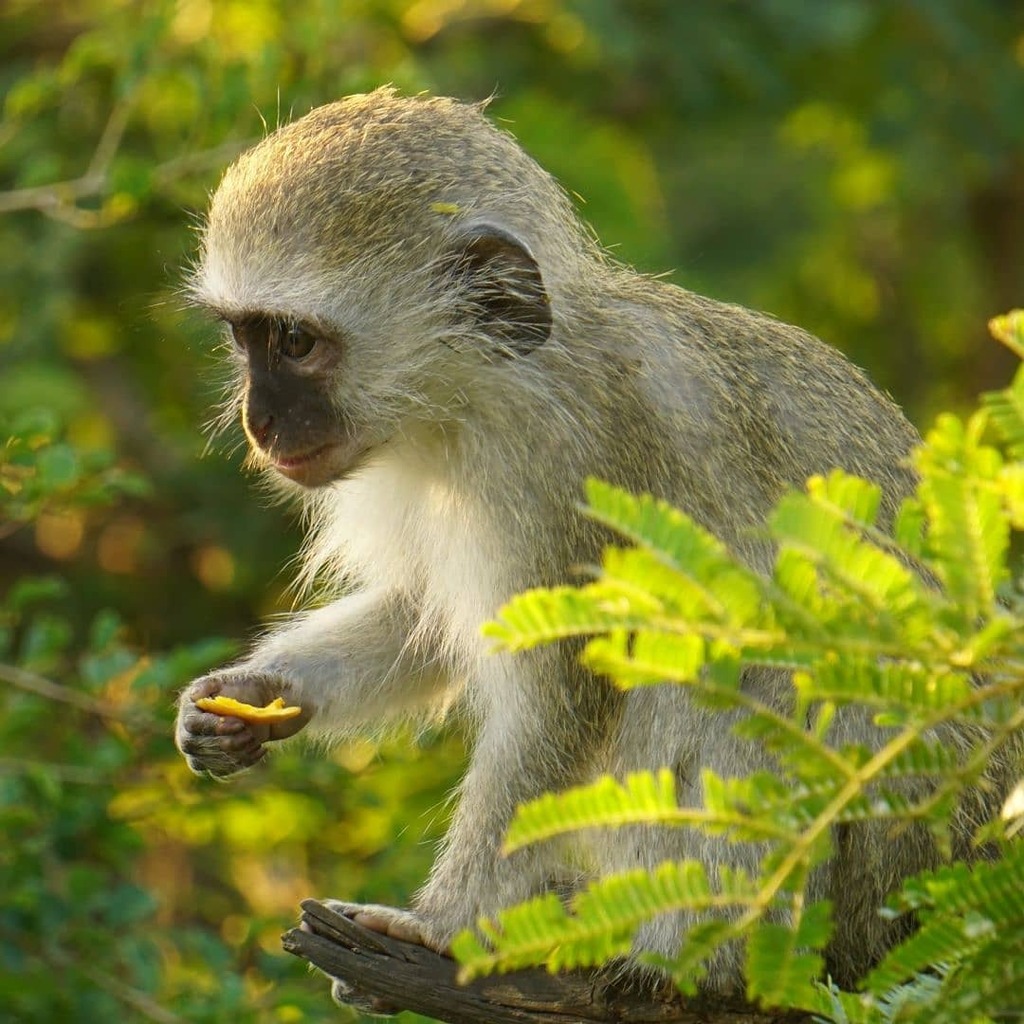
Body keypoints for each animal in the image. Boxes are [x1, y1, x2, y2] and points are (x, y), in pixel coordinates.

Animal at [174, 87, 1010, 1002]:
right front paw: (252, 693)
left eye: (295, 342)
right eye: (243, 338)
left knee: (755, 671)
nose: (258, 421)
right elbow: (423, 619)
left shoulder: (571, 471)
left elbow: (562, 696)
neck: (479, 397)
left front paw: (440, 925)